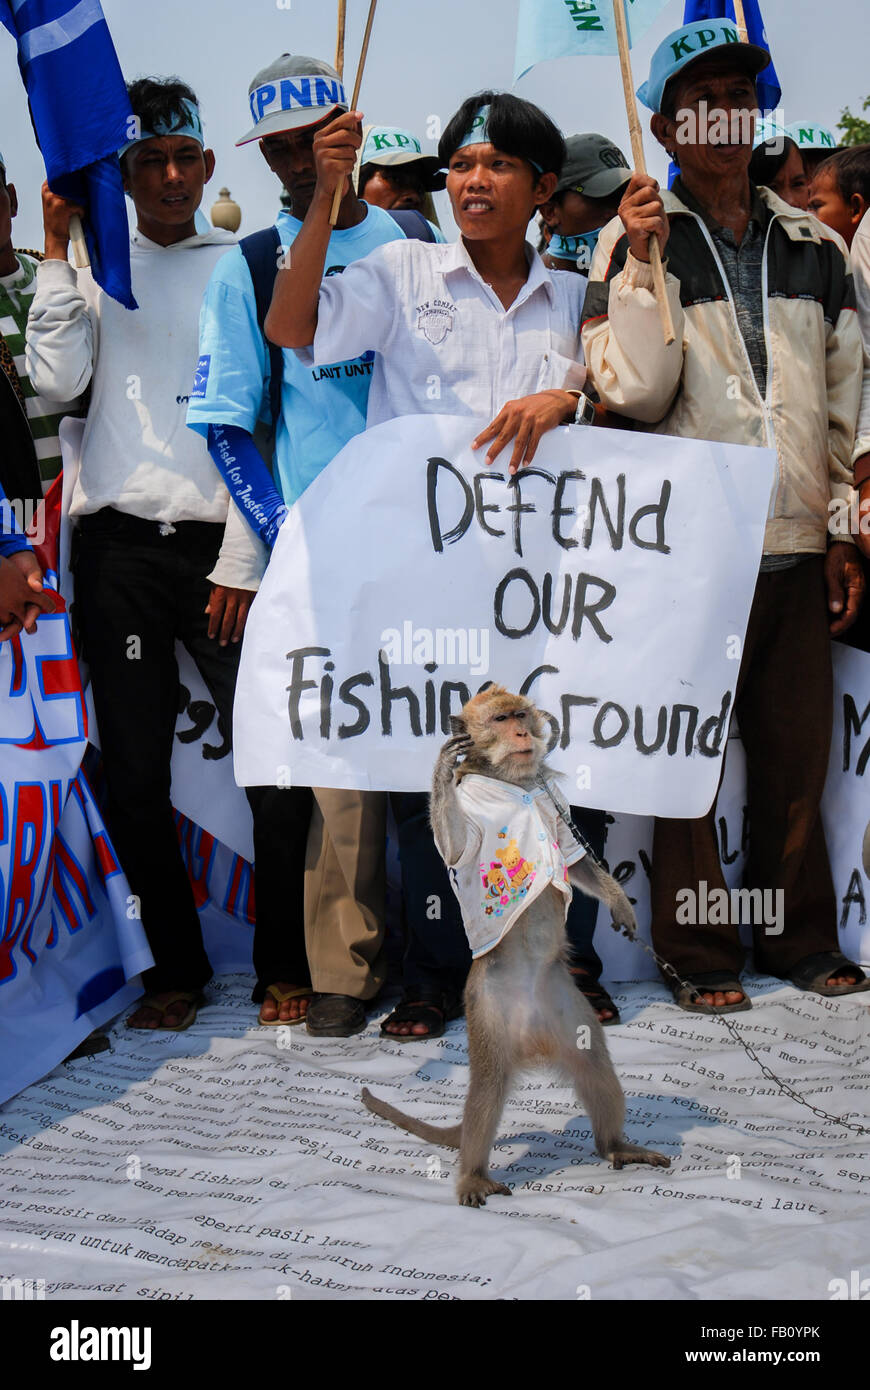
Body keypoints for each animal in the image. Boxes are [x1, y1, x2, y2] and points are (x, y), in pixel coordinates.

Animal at [361, 683, 667, 1206]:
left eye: (521, 715)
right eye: (502, 720)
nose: (523, 732)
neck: (513, 781)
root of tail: (535, 1038)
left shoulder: (553, 800)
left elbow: (576, 861)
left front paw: (619, 904)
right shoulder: (470, 804)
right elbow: (456, 843)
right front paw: (442, 769)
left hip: (569, 1011)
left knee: (594, 1067)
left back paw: (615, 1146)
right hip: (487, 1014)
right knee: (486, 1092)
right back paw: (472, 1173)